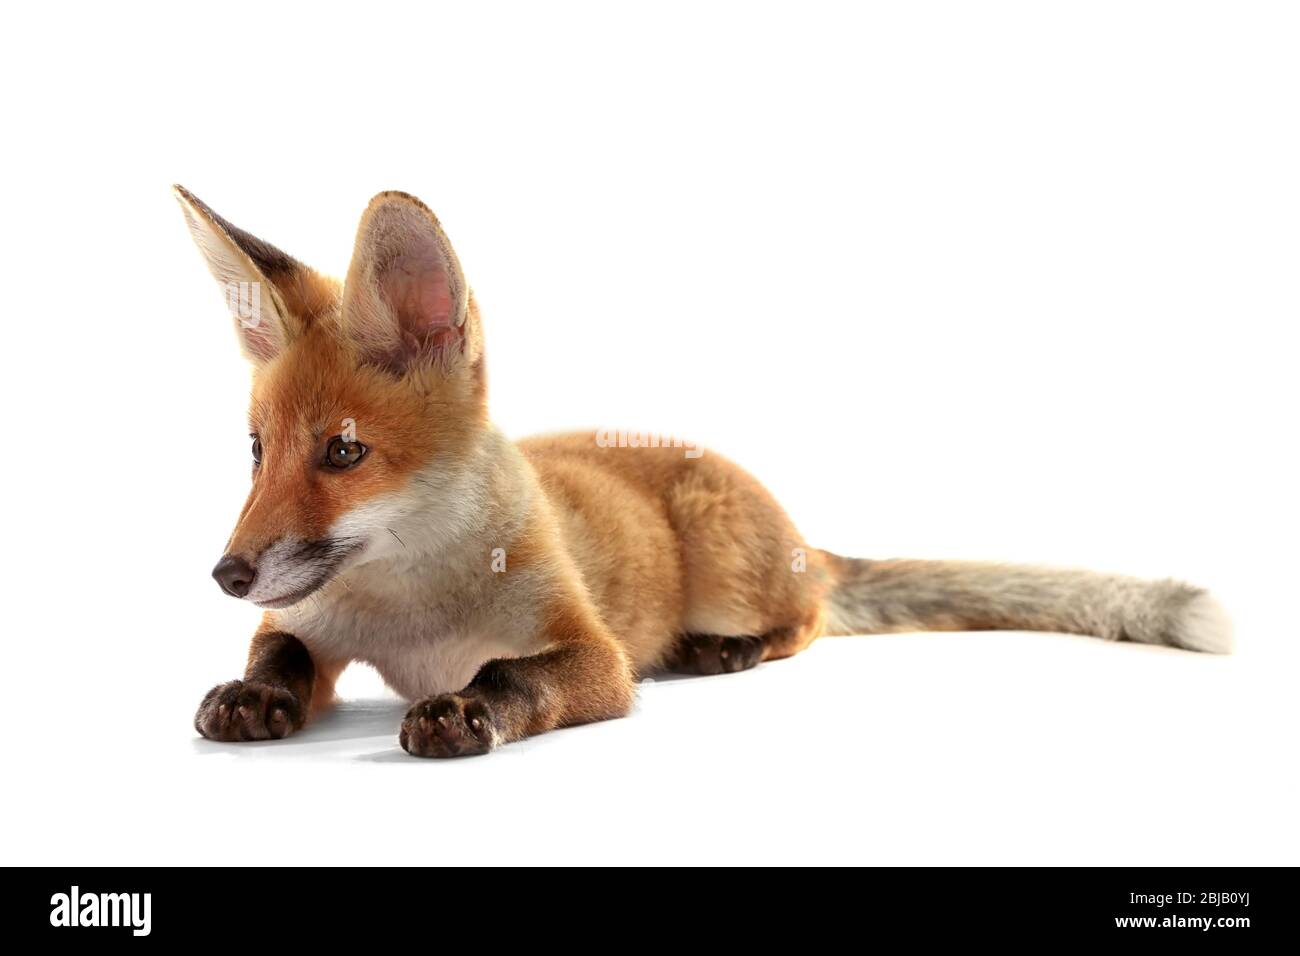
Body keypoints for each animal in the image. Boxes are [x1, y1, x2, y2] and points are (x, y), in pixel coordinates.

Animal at [177, 186, 1233, 758]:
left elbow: (517, 676)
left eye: (344, 452)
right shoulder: (304, 619)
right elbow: (279, 655)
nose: (225, 573)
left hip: (731, 573)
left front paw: (468, 707)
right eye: (257, 450)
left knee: (811, 618)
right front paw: (254, 697)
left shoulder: (594, 656)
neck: (409, 621)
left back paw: (725, 651)